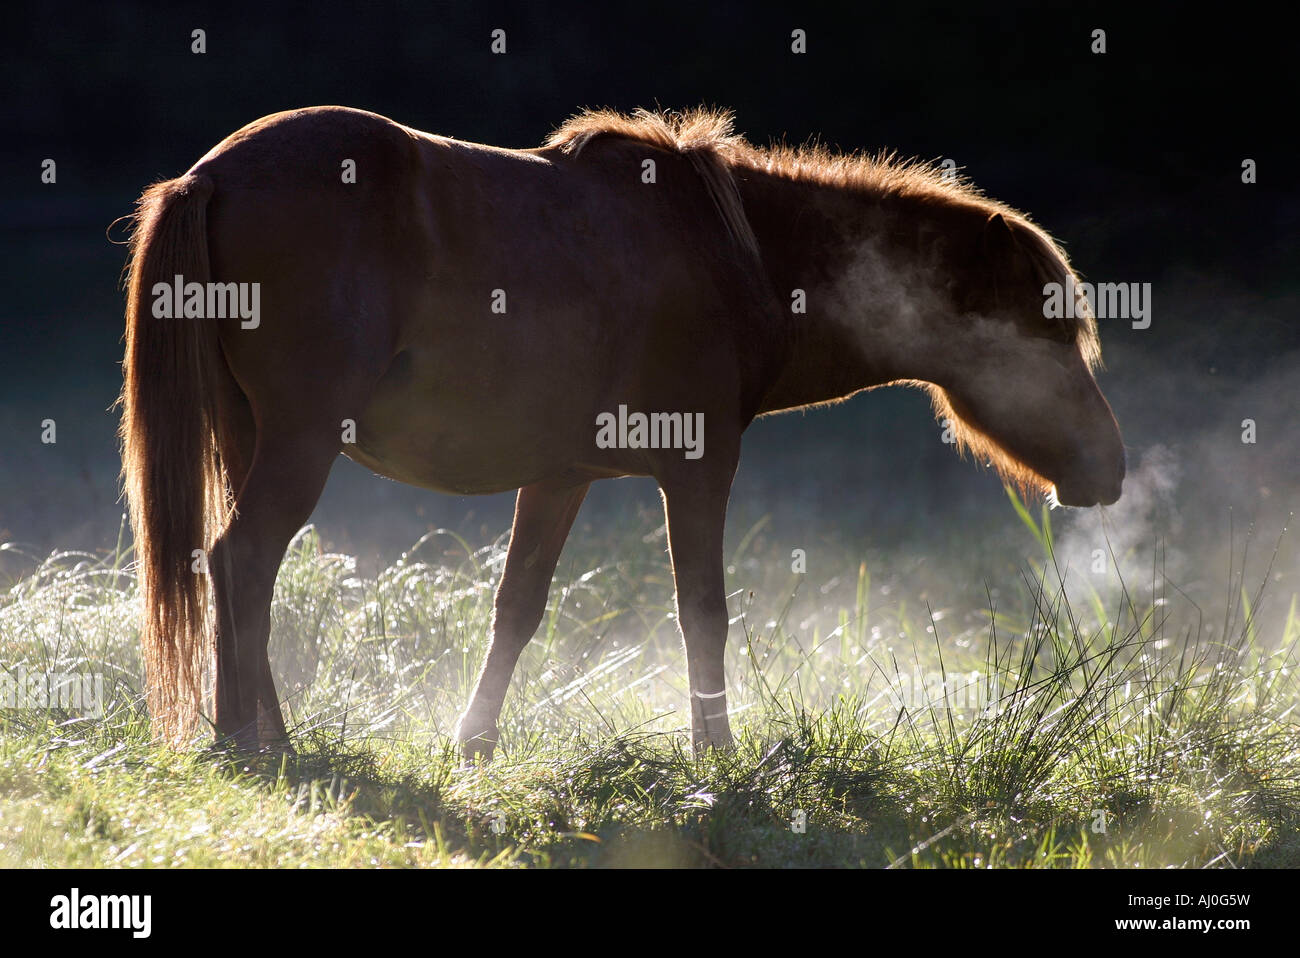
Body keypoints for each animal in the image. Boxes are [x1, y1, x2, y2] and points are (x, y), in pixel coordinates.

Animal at [117, 105, 1124, 758]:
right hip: (299, 442)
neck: (738, 255)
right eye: (1047, 332)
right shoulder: (701, 469)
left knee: (240, 573)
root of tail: (210, 176)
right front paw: (717, 753)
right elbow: (703, 612)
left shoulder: (560, 477)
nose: (1112, 469)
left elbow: (517, 609)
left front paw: (474, 743)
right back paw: (250, 744)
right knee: (244, 558)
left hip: (250, 440)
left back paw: (267, 735)